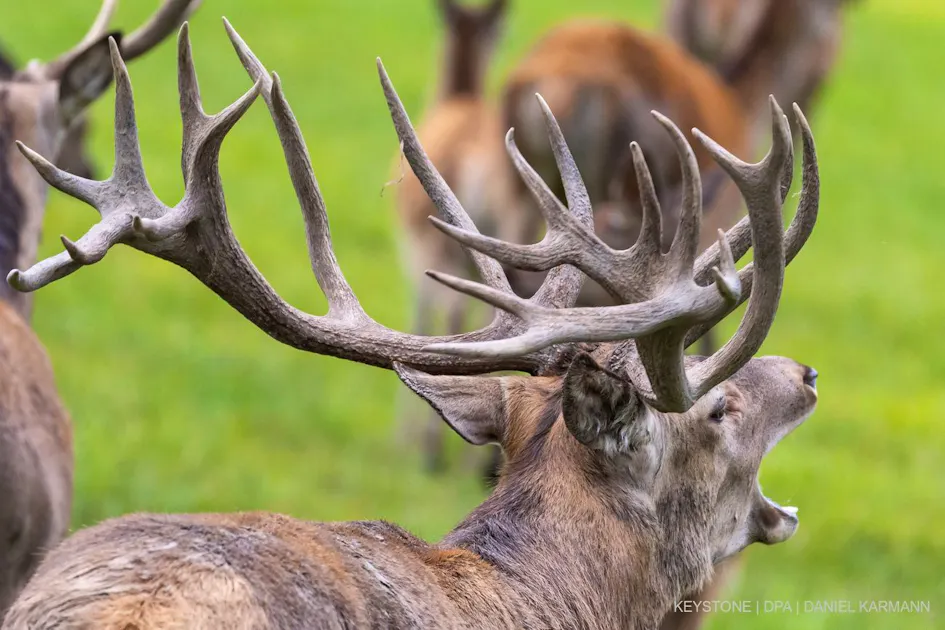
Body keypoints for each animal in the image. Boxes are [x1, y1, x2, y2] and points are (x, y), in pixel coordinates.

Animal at [393, 0, 513, 477]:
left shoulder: (412, 249)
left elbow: (421, 320)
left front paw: (404, 440)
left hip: (444, 242)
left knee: (454, 314)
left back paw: (434, 451)